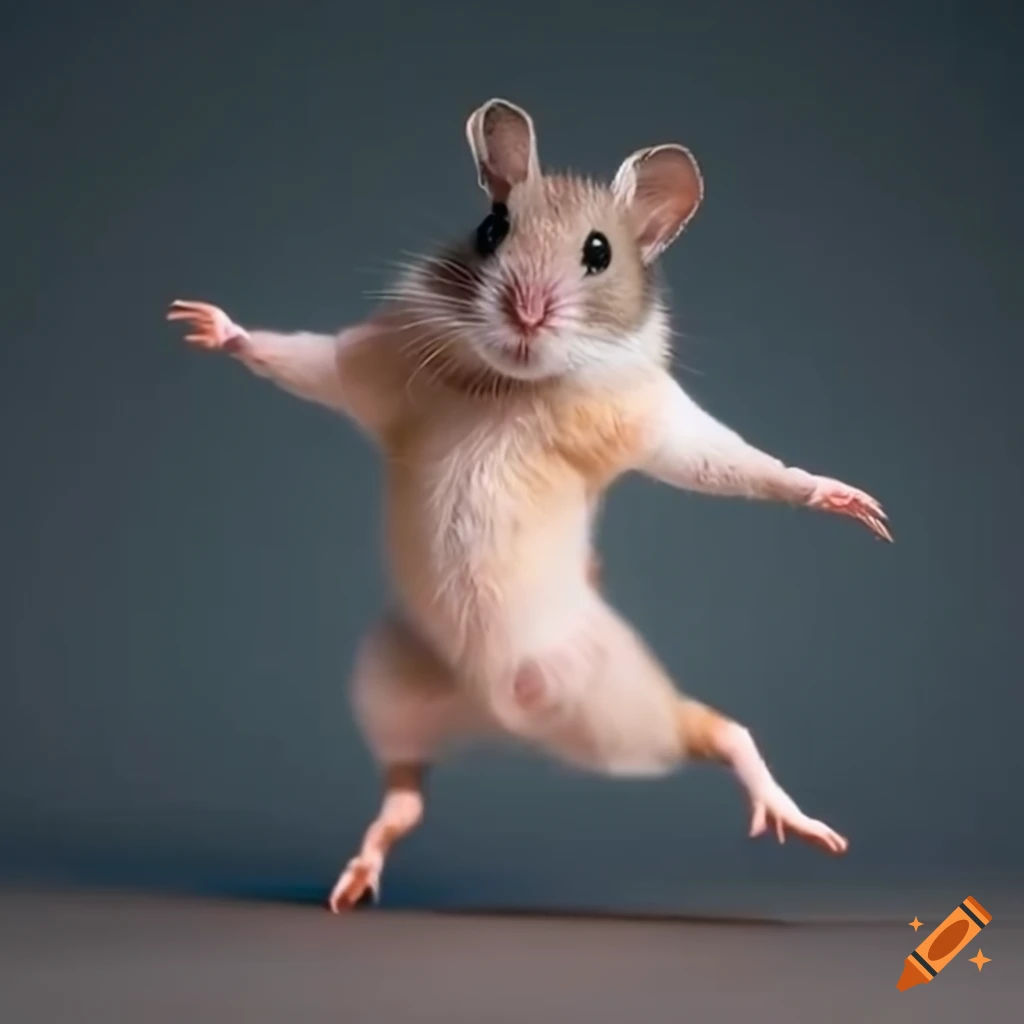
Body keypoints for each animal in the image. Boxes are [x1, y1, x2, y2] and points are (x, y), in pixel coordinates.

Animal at [167, 98, 891, 912]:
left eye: (598, 251)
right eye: (492, 227)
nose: (528, 314)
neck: (510, 387)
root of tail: (492, 722)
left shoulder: (657, 424)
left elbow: (732, 462)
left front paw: (852, 503)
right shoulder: (367, 370)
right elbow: (298, 357)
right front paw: (206, 323)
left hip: (612, 704)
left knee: (717, 730)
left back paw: (802, 823)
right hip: (391, 686)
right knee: (406, 795)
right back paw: (353, 882)